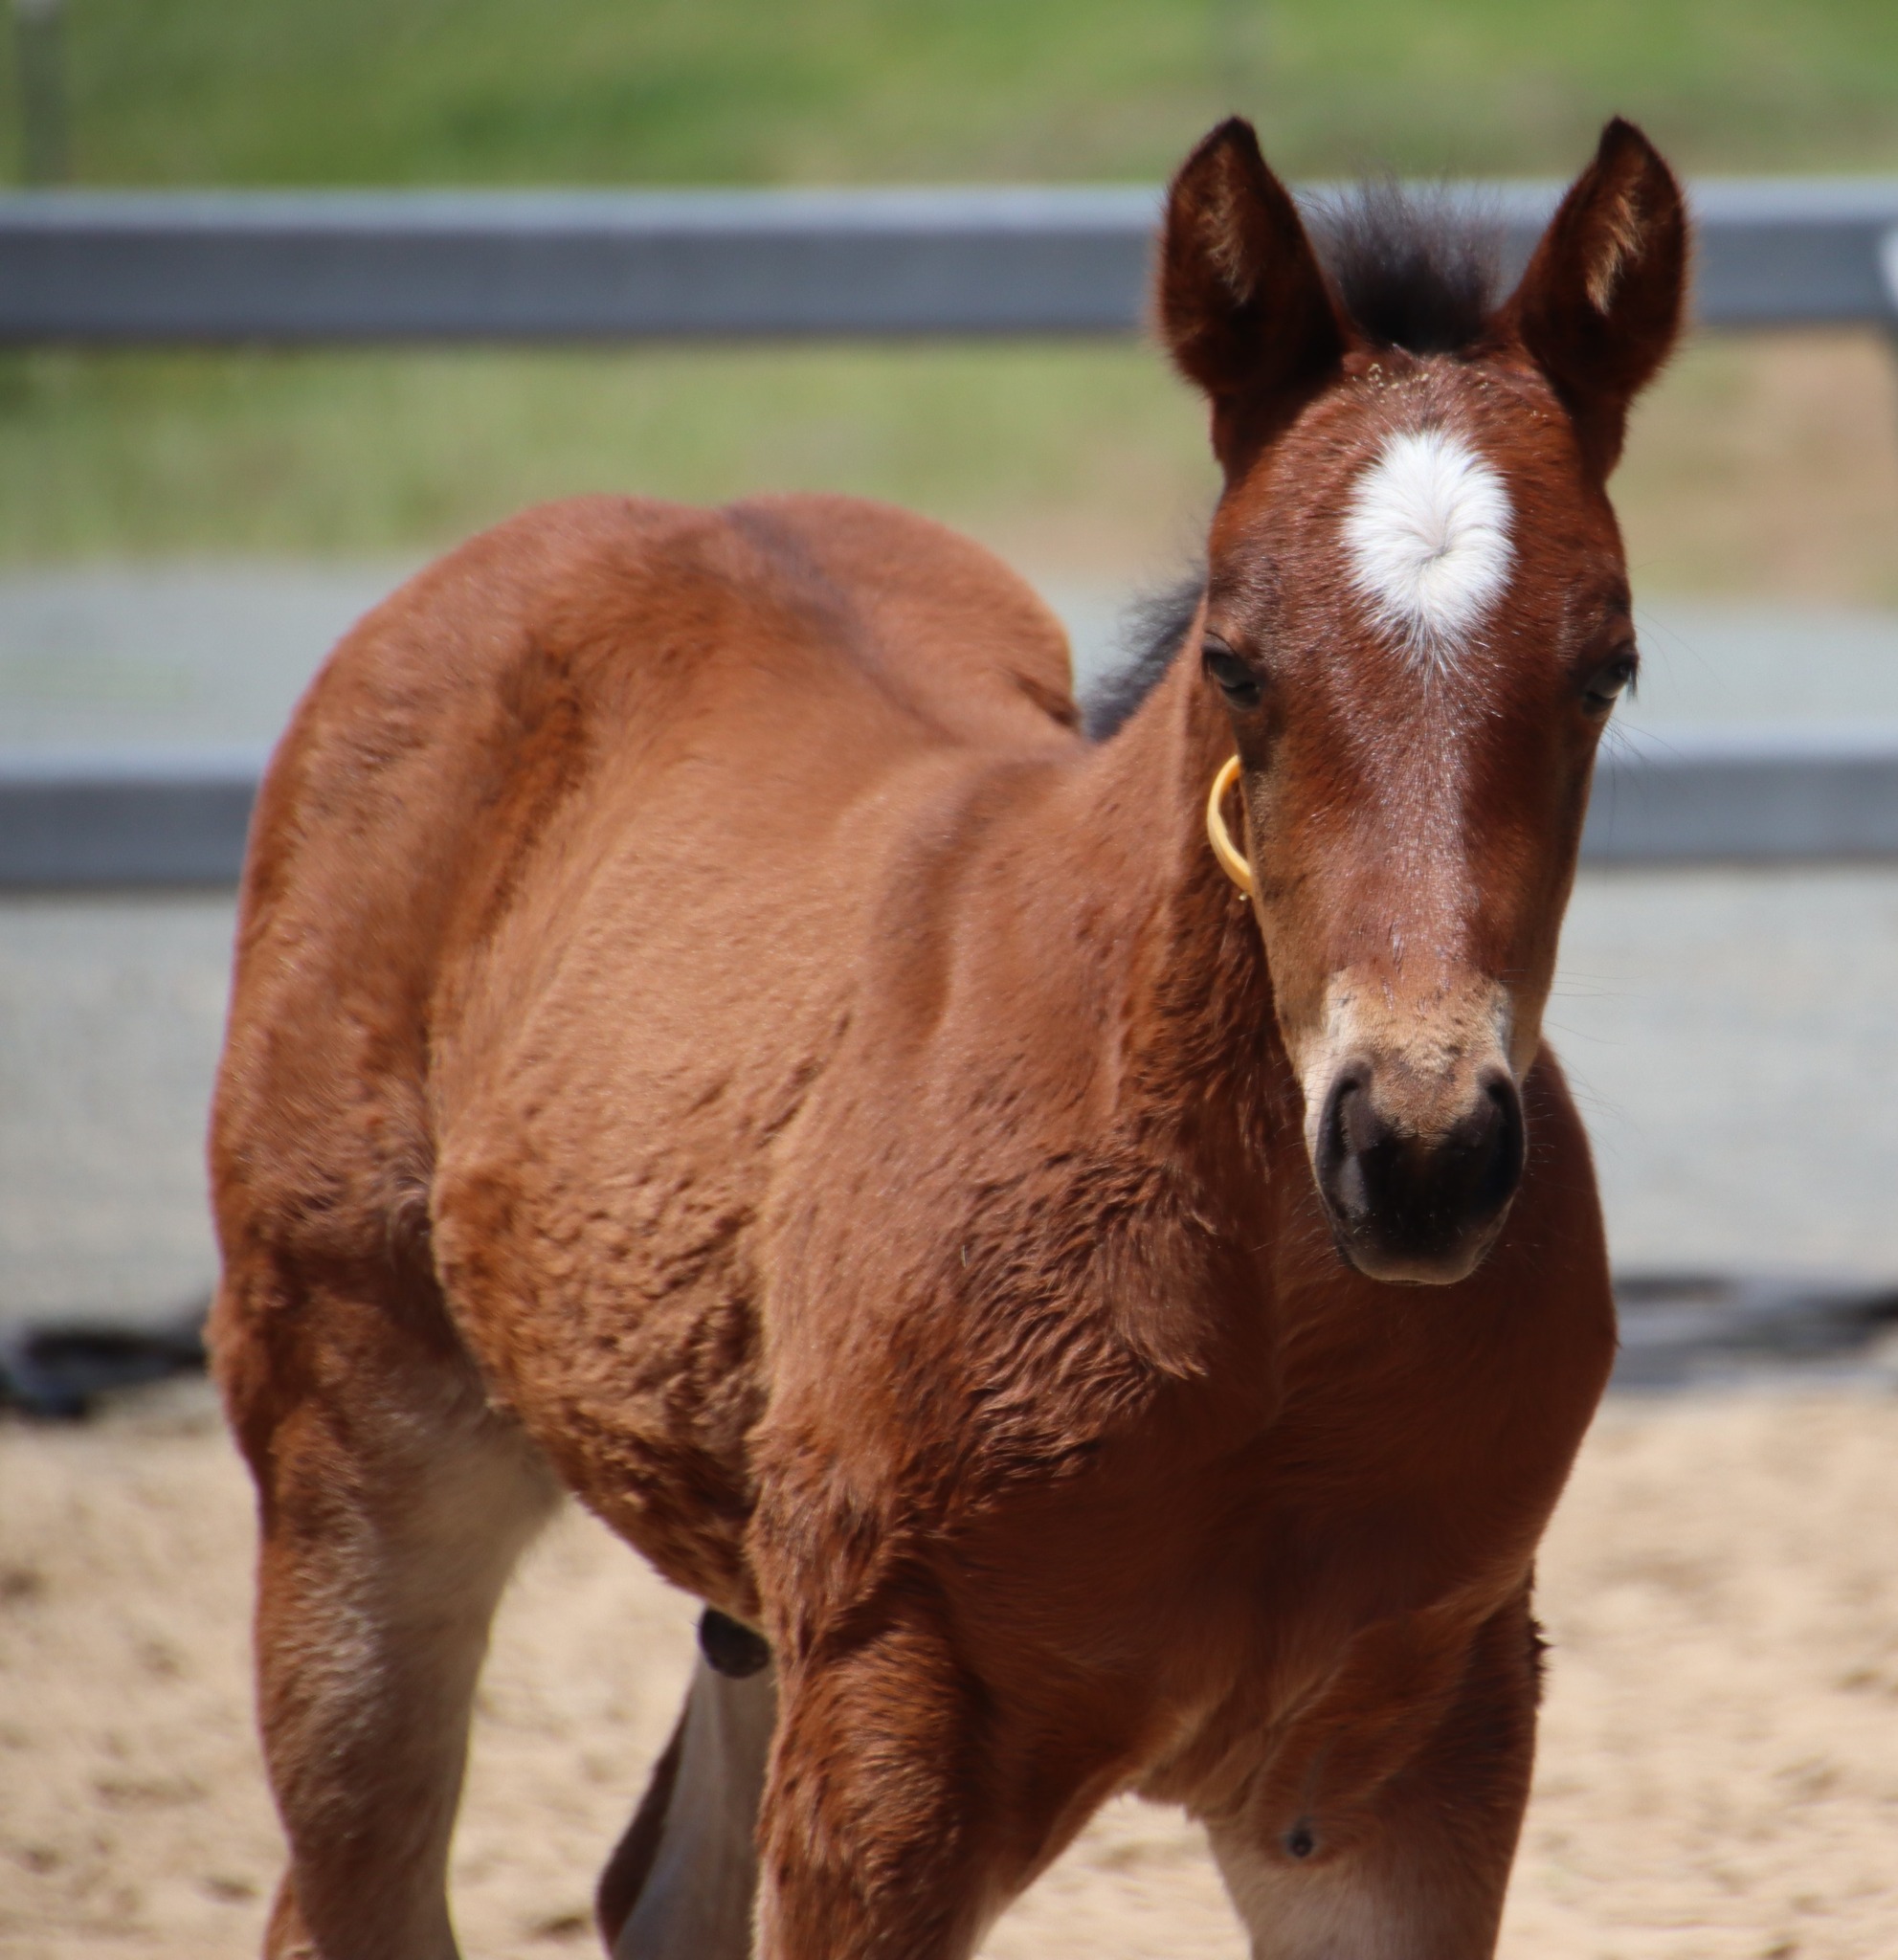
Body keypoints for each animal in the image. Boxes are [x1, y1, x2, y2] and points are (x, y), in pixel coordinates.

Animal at [208, 114, 1686, 1959]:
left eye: (1605, 667)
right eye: (1234, 661)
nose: (1416, 1157)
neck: (1262, 1315)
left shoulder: (1398, 1773)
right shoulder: (887, 1742)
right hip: (356, 1454)